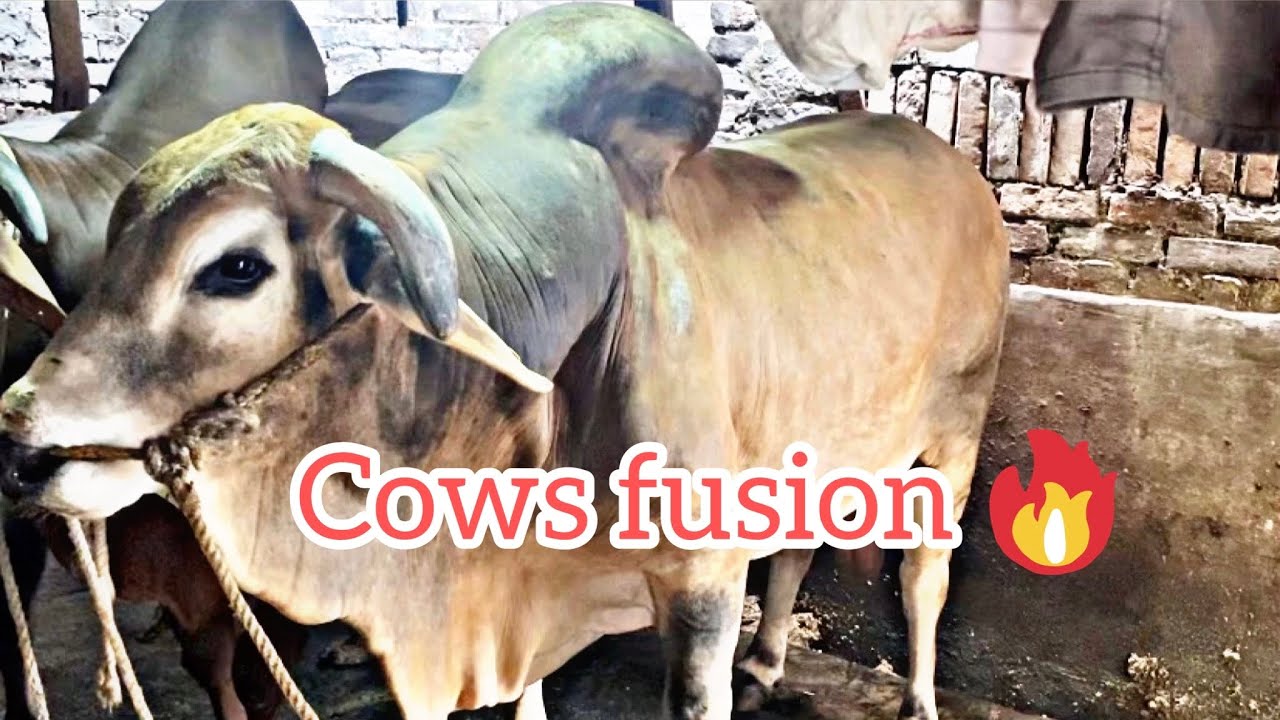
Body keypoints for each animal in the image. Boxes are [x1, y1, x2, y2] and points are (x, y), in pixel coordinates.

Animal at [0, 4, 1008, 720]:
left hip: (954, 434)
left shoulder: (705, 585)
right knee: (803, 538)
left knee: (924, 578)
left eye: (235, 267)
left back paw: (917, 699)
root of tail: (945, 159)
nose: (20, 431)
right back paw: (766, 665)